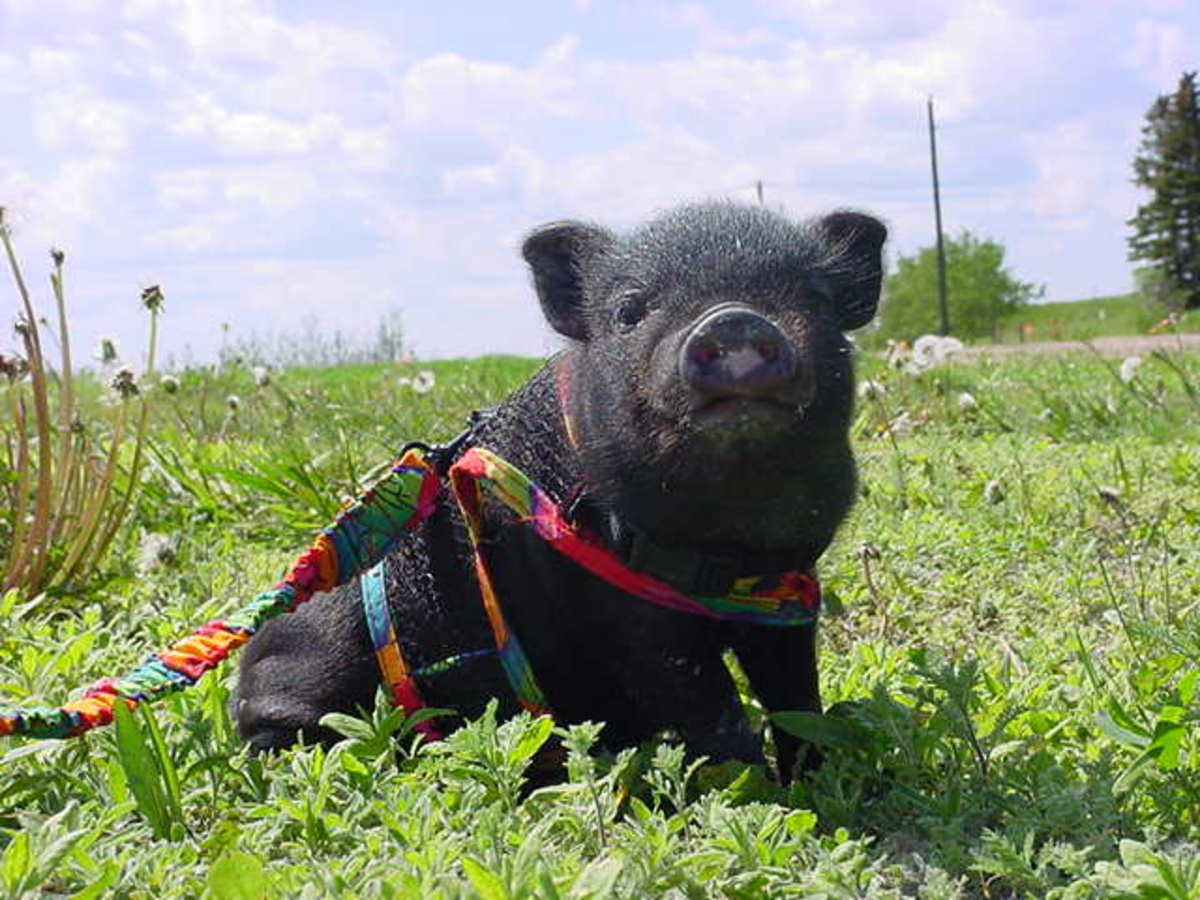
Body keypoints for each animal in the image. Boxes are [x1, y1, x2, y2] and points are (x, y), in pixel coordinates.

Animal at [235, 200, 886, 781]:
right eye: (629, 310)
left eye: (815, 298)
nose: (733, 319)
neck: (734, 543)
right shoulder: (624, 613)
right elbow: (709, 706)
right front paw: (759, 793)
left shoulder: (790, 591)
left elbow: (797, 698)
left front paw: (818, 780)